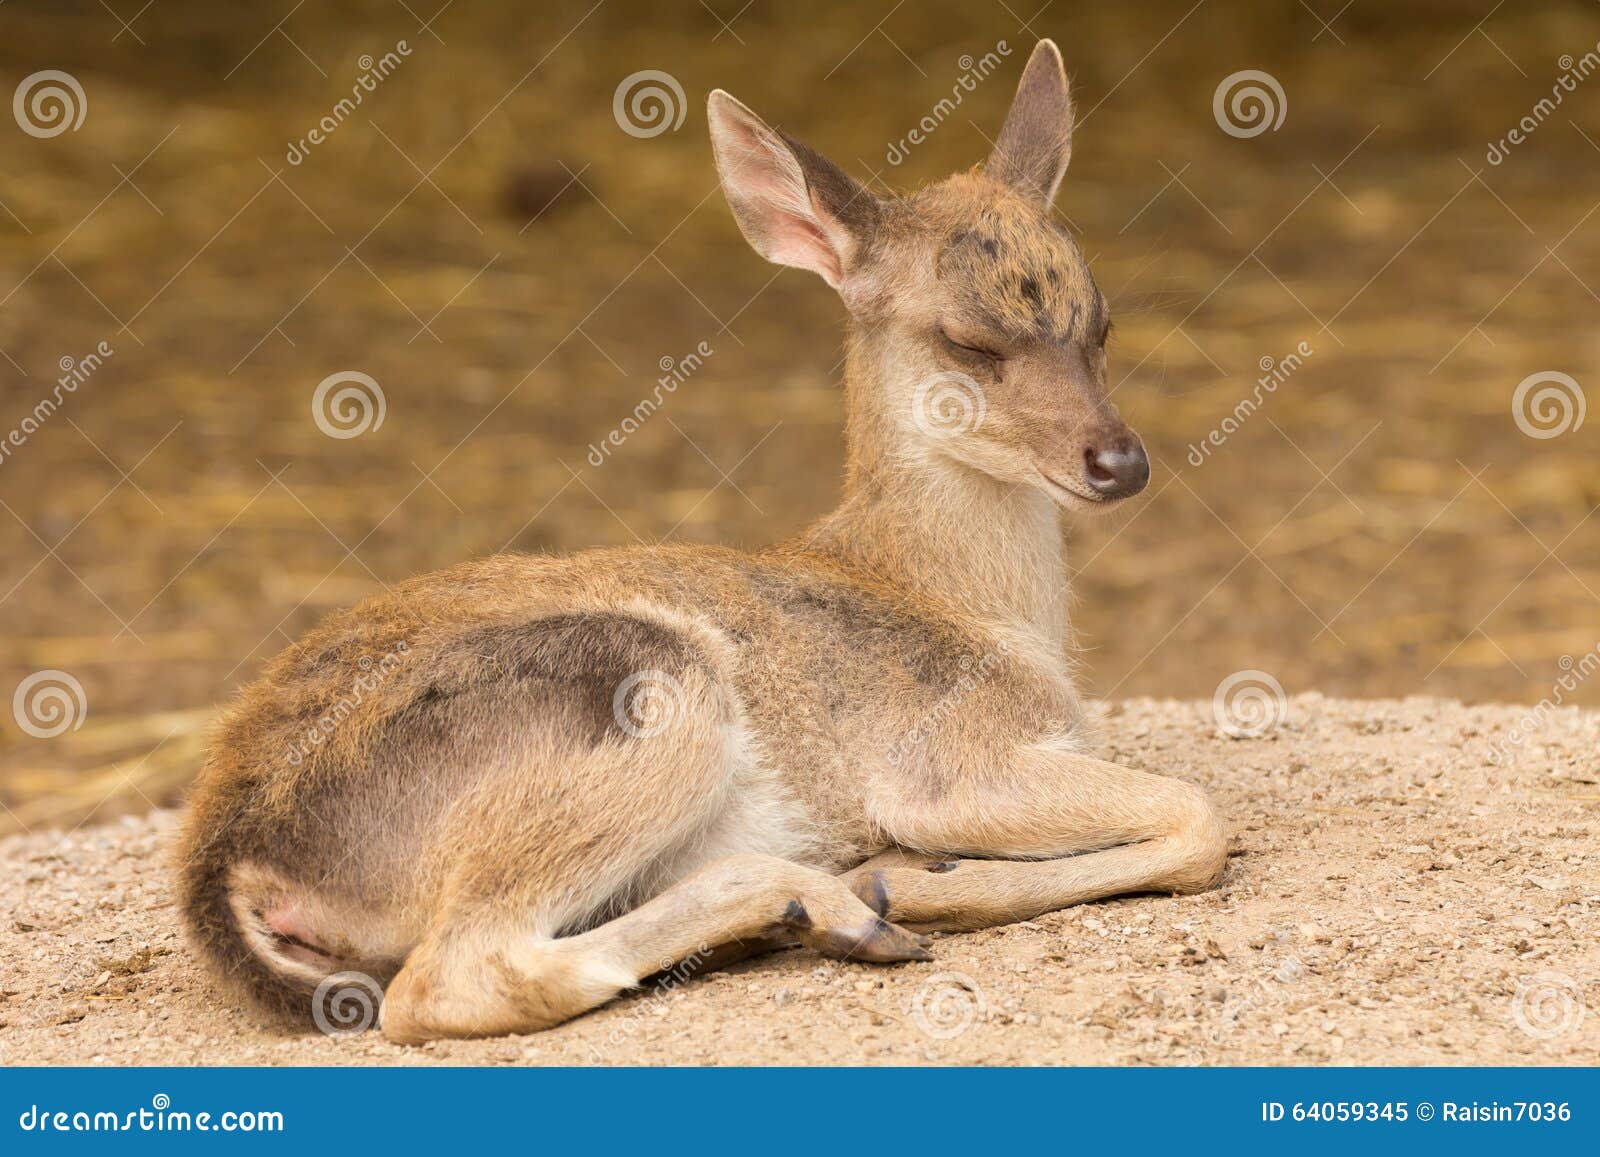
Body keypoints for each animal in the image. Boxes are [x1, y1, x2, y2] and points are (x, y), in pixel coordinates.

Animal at [177, 39, 1227, 1044]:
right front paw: (922, 881)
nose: (1120, 461)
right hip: (643, 683)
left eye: (1102, 324)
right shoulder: (939, 758)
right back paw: (840, 905)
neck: (975, 611)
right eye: (969, 340)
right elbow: (1199, 816)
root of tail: (234, 860)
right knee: (451, 979)